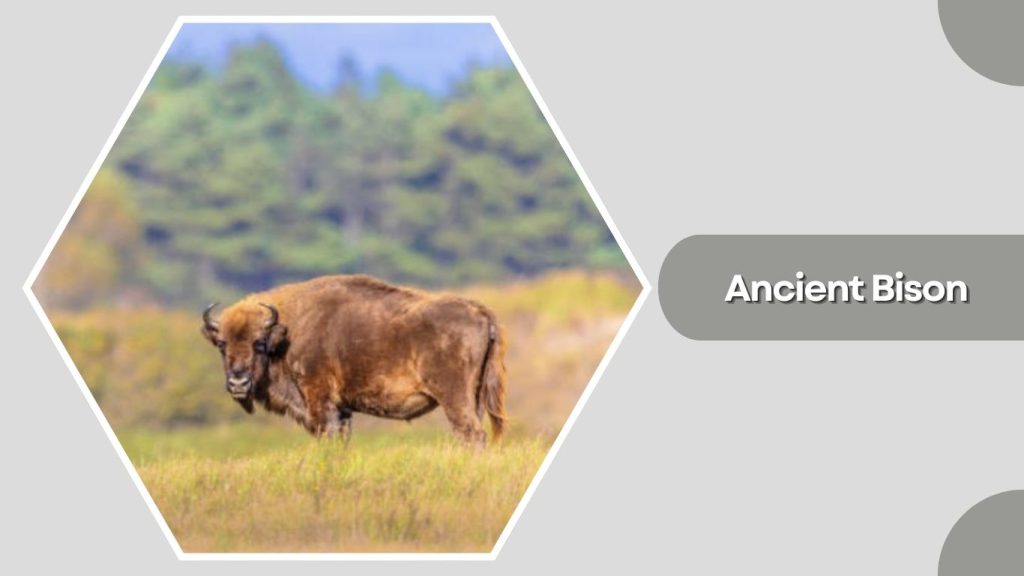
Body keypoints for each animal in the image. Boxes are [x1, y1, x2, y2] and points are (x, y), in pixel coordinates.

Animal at [201, 274, 507, 447]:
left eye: (259, 343)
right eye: (221, 344)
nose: (238, 382)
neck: (288, 329)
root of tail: (480, 312)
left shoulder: (319, 400)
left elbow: (328, 437)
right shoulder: (342, 410)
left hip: (454, 397)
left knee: (471, 434)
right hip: (475, 397)